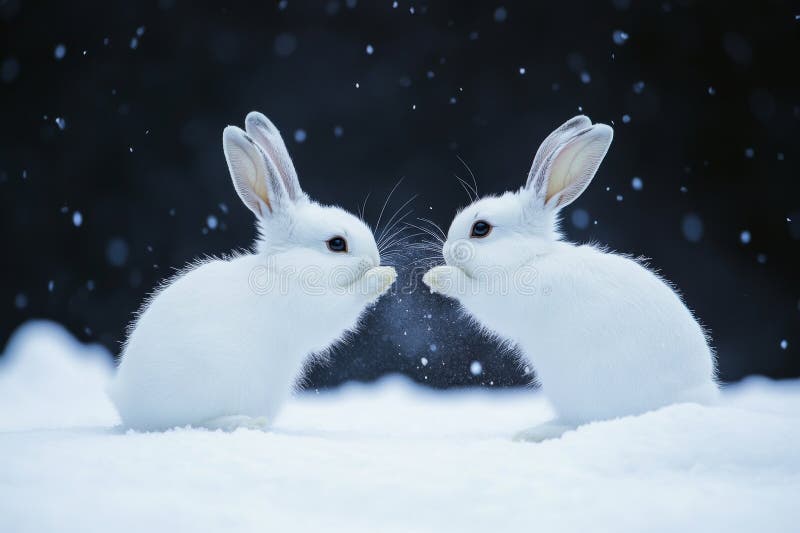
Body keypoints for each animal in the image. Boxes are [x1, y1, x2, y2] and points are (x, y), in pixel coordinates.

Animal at [108, 111, 397, 431]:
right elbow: (345, 305)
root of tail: (127, 407)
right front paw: (383, 276)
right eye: (337, 244)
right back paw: (245, 422)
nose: (375, 259)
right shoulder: (314, 307)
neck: (287, 268)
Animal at [423, 115, 718, 441]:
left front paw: (435, 276)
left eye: (481, 229)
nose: (446, 251)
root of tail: (696, 396)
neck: (530, 258)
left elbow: (473, 294)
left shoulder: (503, 299)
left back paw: (533, 433)